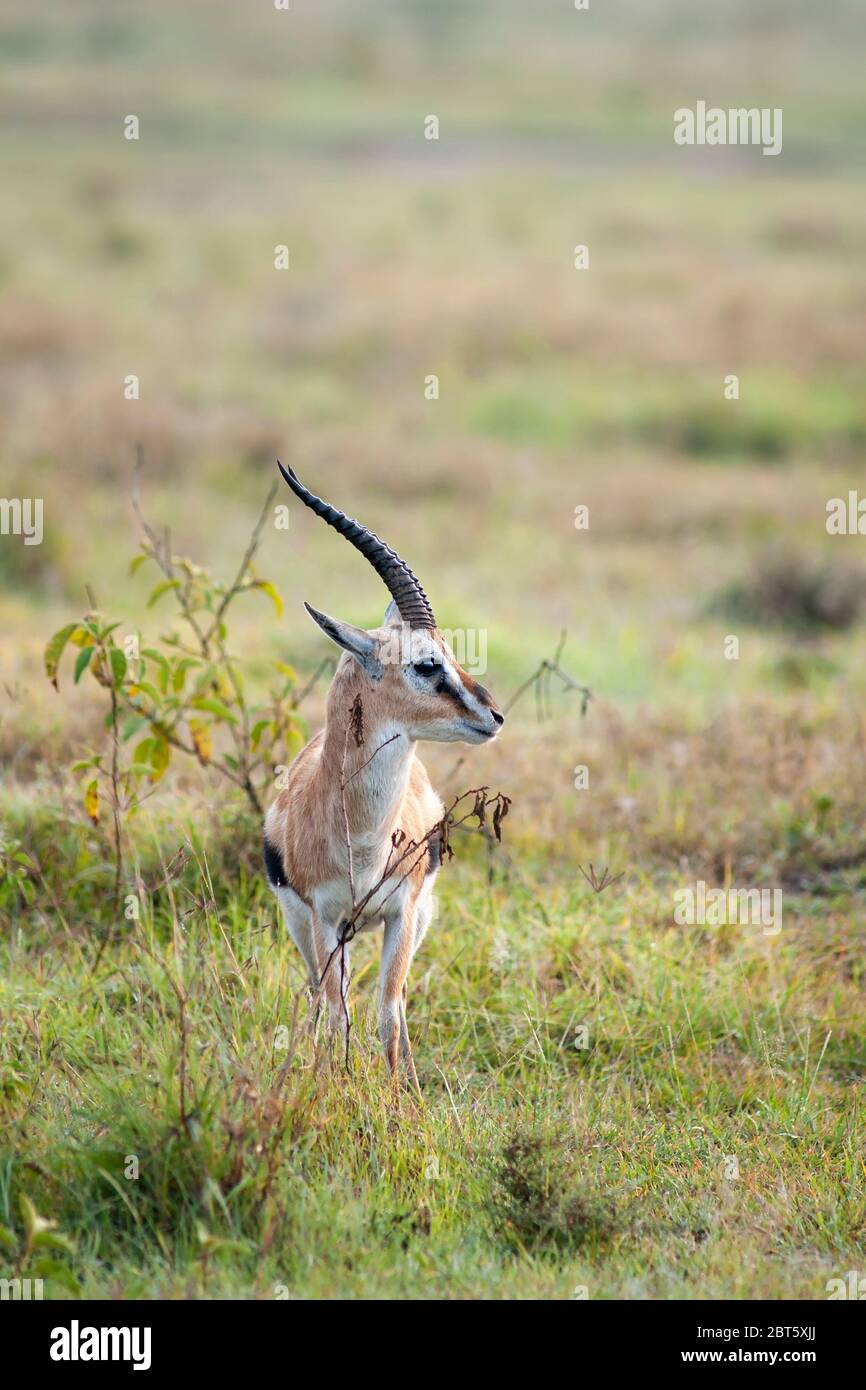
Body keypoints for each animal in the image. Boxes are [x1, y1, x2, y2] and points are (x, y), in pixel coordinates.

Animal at [264, 464, 504, 1087]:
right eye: (427, 663)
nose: (494, 715)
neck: (363, 840)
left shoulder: (401, 914)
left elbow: (388, 1016)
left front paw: (400, 1097)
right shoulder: (324, 920)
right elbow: (337, 1015)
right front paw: (336, 1084)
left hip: (418, 919)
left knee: (393, 1004)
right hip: (312, 932)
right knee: (320, 999)